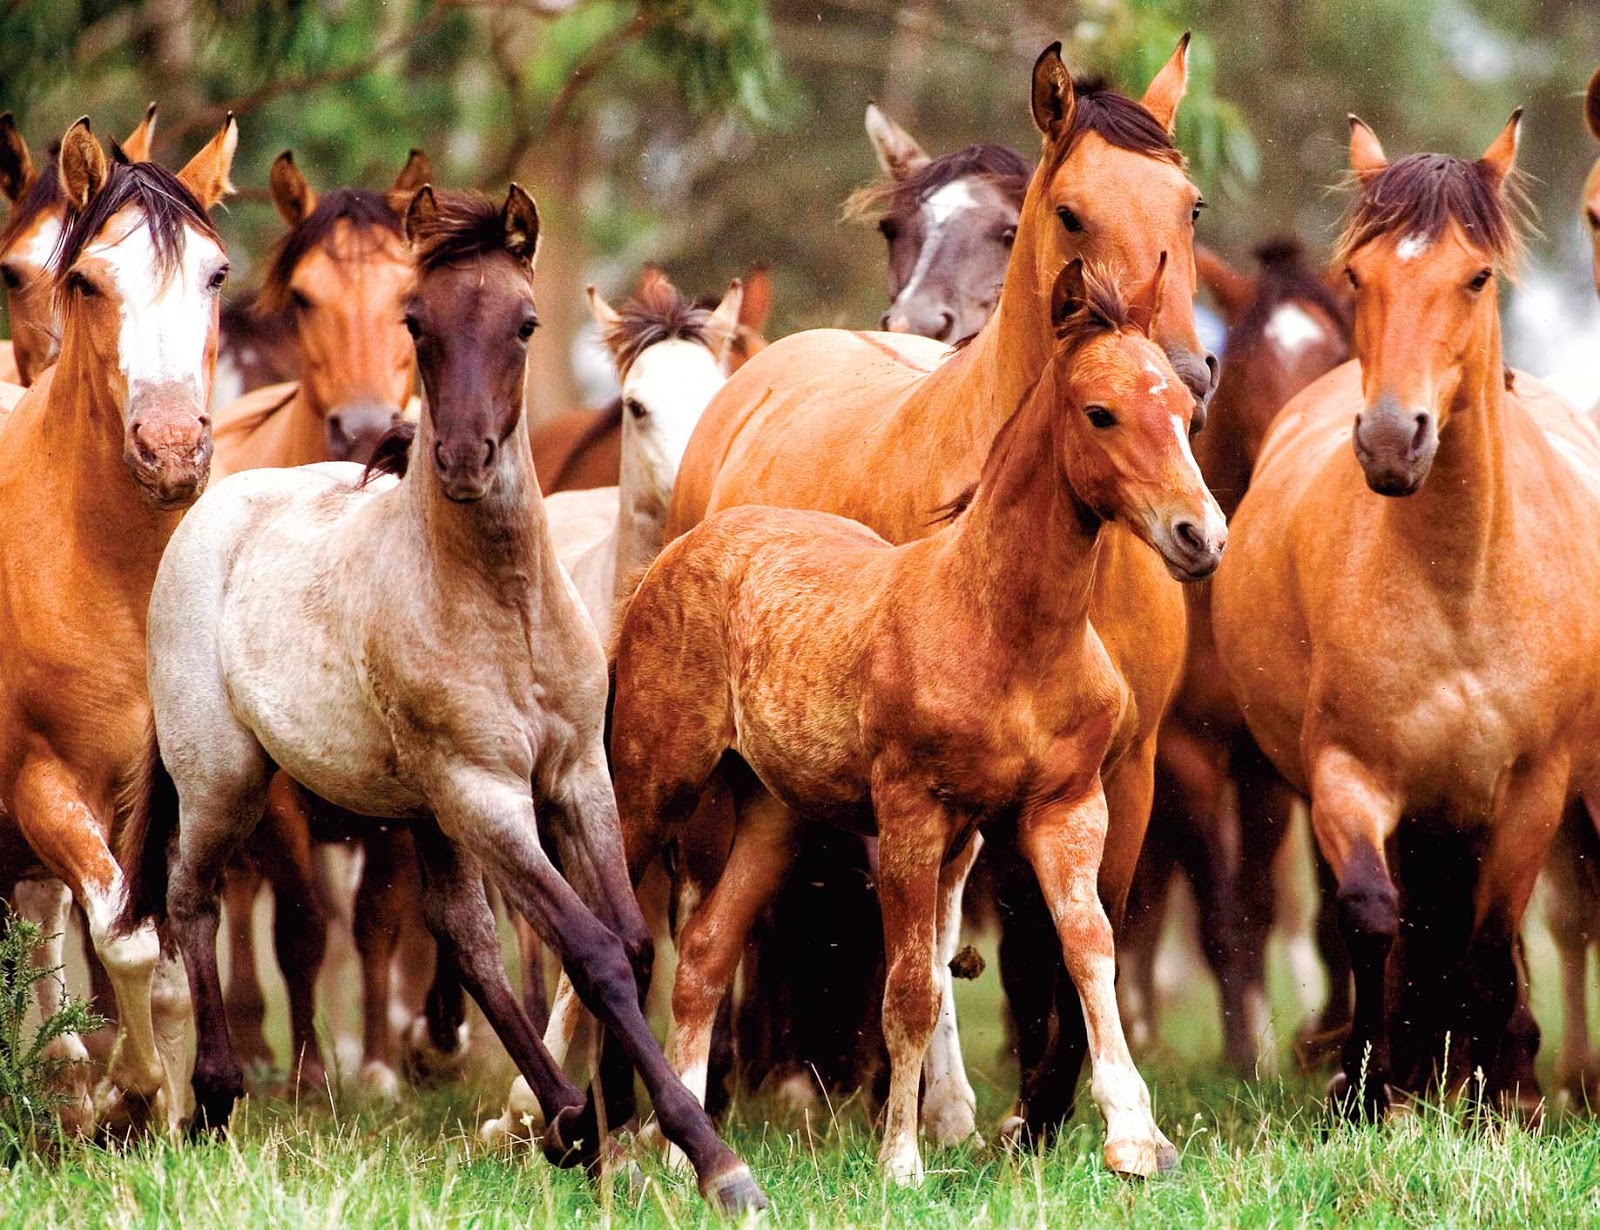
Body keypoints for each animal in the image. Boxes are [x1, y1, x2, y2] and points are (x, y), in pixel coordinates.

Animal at [1118, 239, 1352, 1071]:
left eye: (1336, 355)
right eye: (1247, 364)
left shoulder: (1265, 768)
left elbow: (1258, 902)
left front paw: (1266, 1049)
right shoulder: (1190, 758)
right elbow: (1220, 916)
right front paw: (1242, 1054)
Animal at [1212, 112, 1600, 1117]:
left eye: (1477, 276)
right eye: (1360, 276)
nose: (1392, 441)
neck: (1459, 585)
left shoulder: (1531, 791)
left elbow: (1493, 942)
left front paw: (1501, 1098)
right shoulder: (1348, 775)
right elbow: (1369, 918)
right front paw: (1365, 1088)